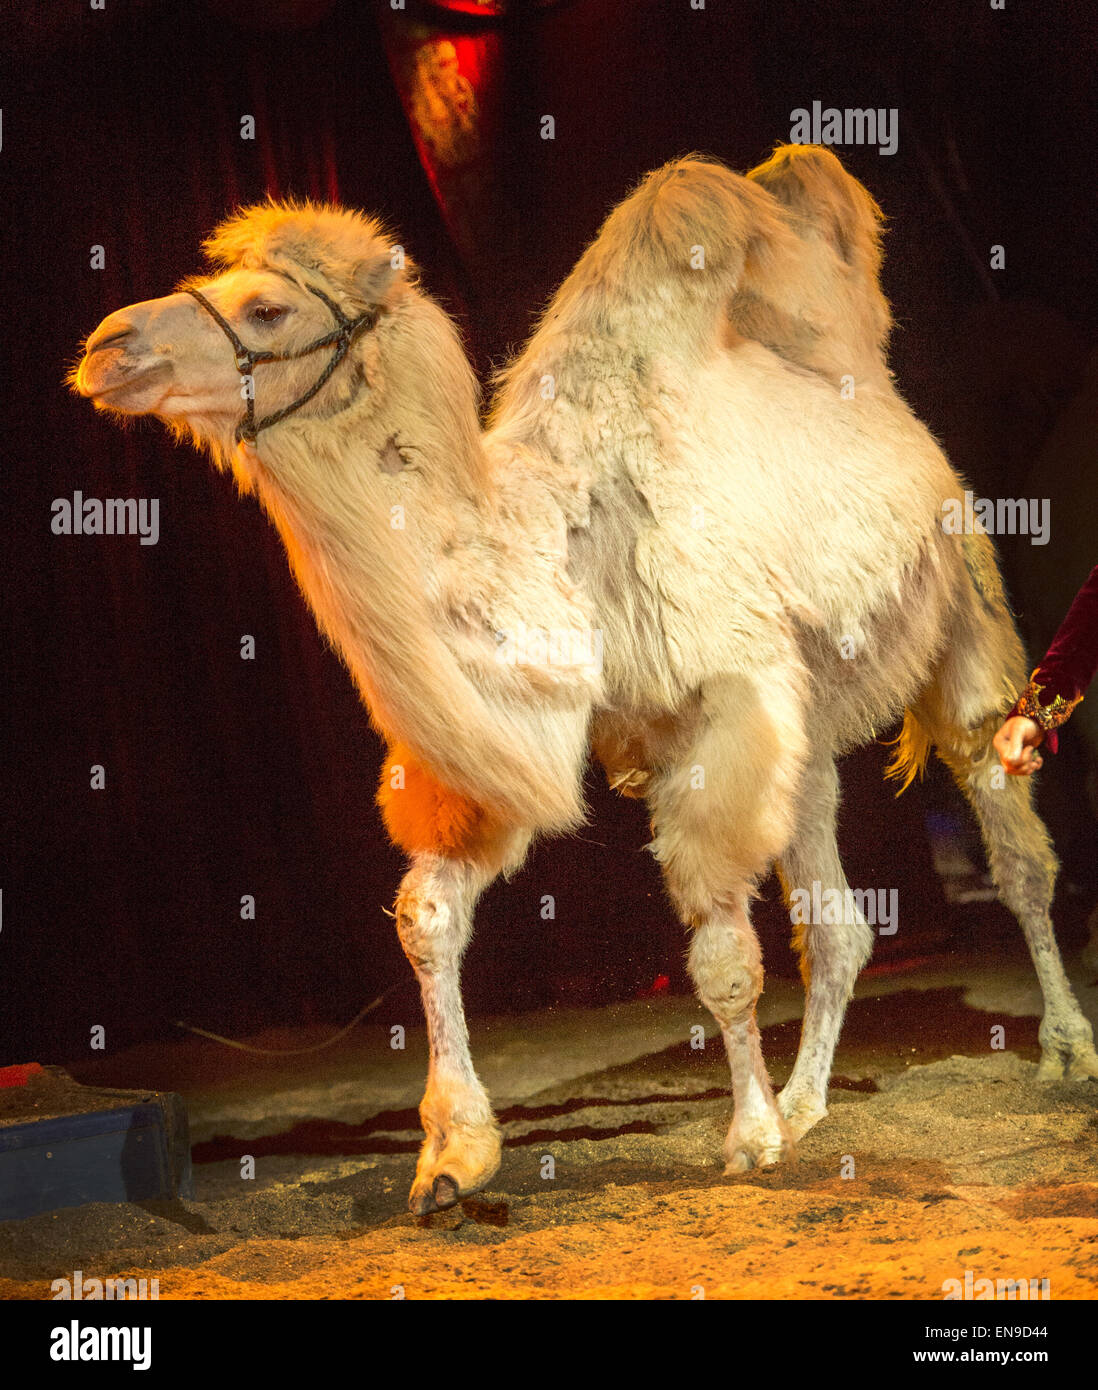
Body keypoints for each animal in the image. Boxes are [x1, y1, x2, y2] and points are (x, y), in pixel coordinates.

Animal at [73, 145, 1098, 1215]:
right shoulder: (518, 738)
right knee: (839, 920)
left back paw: (1061, 1051)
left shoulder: (725, 703)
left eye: (268, 308)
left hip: (961, 600)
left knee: (1008, 826)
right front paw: (452, 1157)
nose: (109, 344)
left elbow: (721, 955)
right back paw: (810, 1102)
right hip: (808, 718)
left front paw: (748, 1138)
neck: (555, 543)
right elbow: (427, 914)